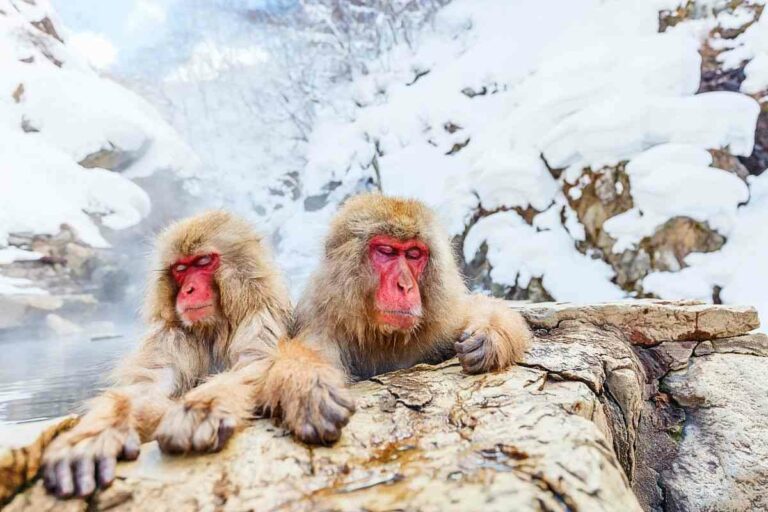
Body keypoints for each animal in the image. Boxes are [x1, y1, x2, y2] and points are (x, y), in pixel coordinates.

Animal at [41, 210, 291, 498]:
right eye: (180, 269)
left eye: (203, 261)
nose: (188, 290)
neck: (213, 328)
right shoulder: (170, 334)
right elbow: (148, 387)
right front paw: (93, 434)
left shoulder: (261, 317)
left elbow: (254, 364)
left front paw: (201, 409)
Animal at [260, 194, 531, 445]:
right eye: (386, 252)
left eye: (413, 254)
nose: (405, 286)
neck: (383, 335)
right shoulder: (322, 329)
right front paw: (310, 387)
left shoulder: (441, 321)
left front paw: (489, 337)